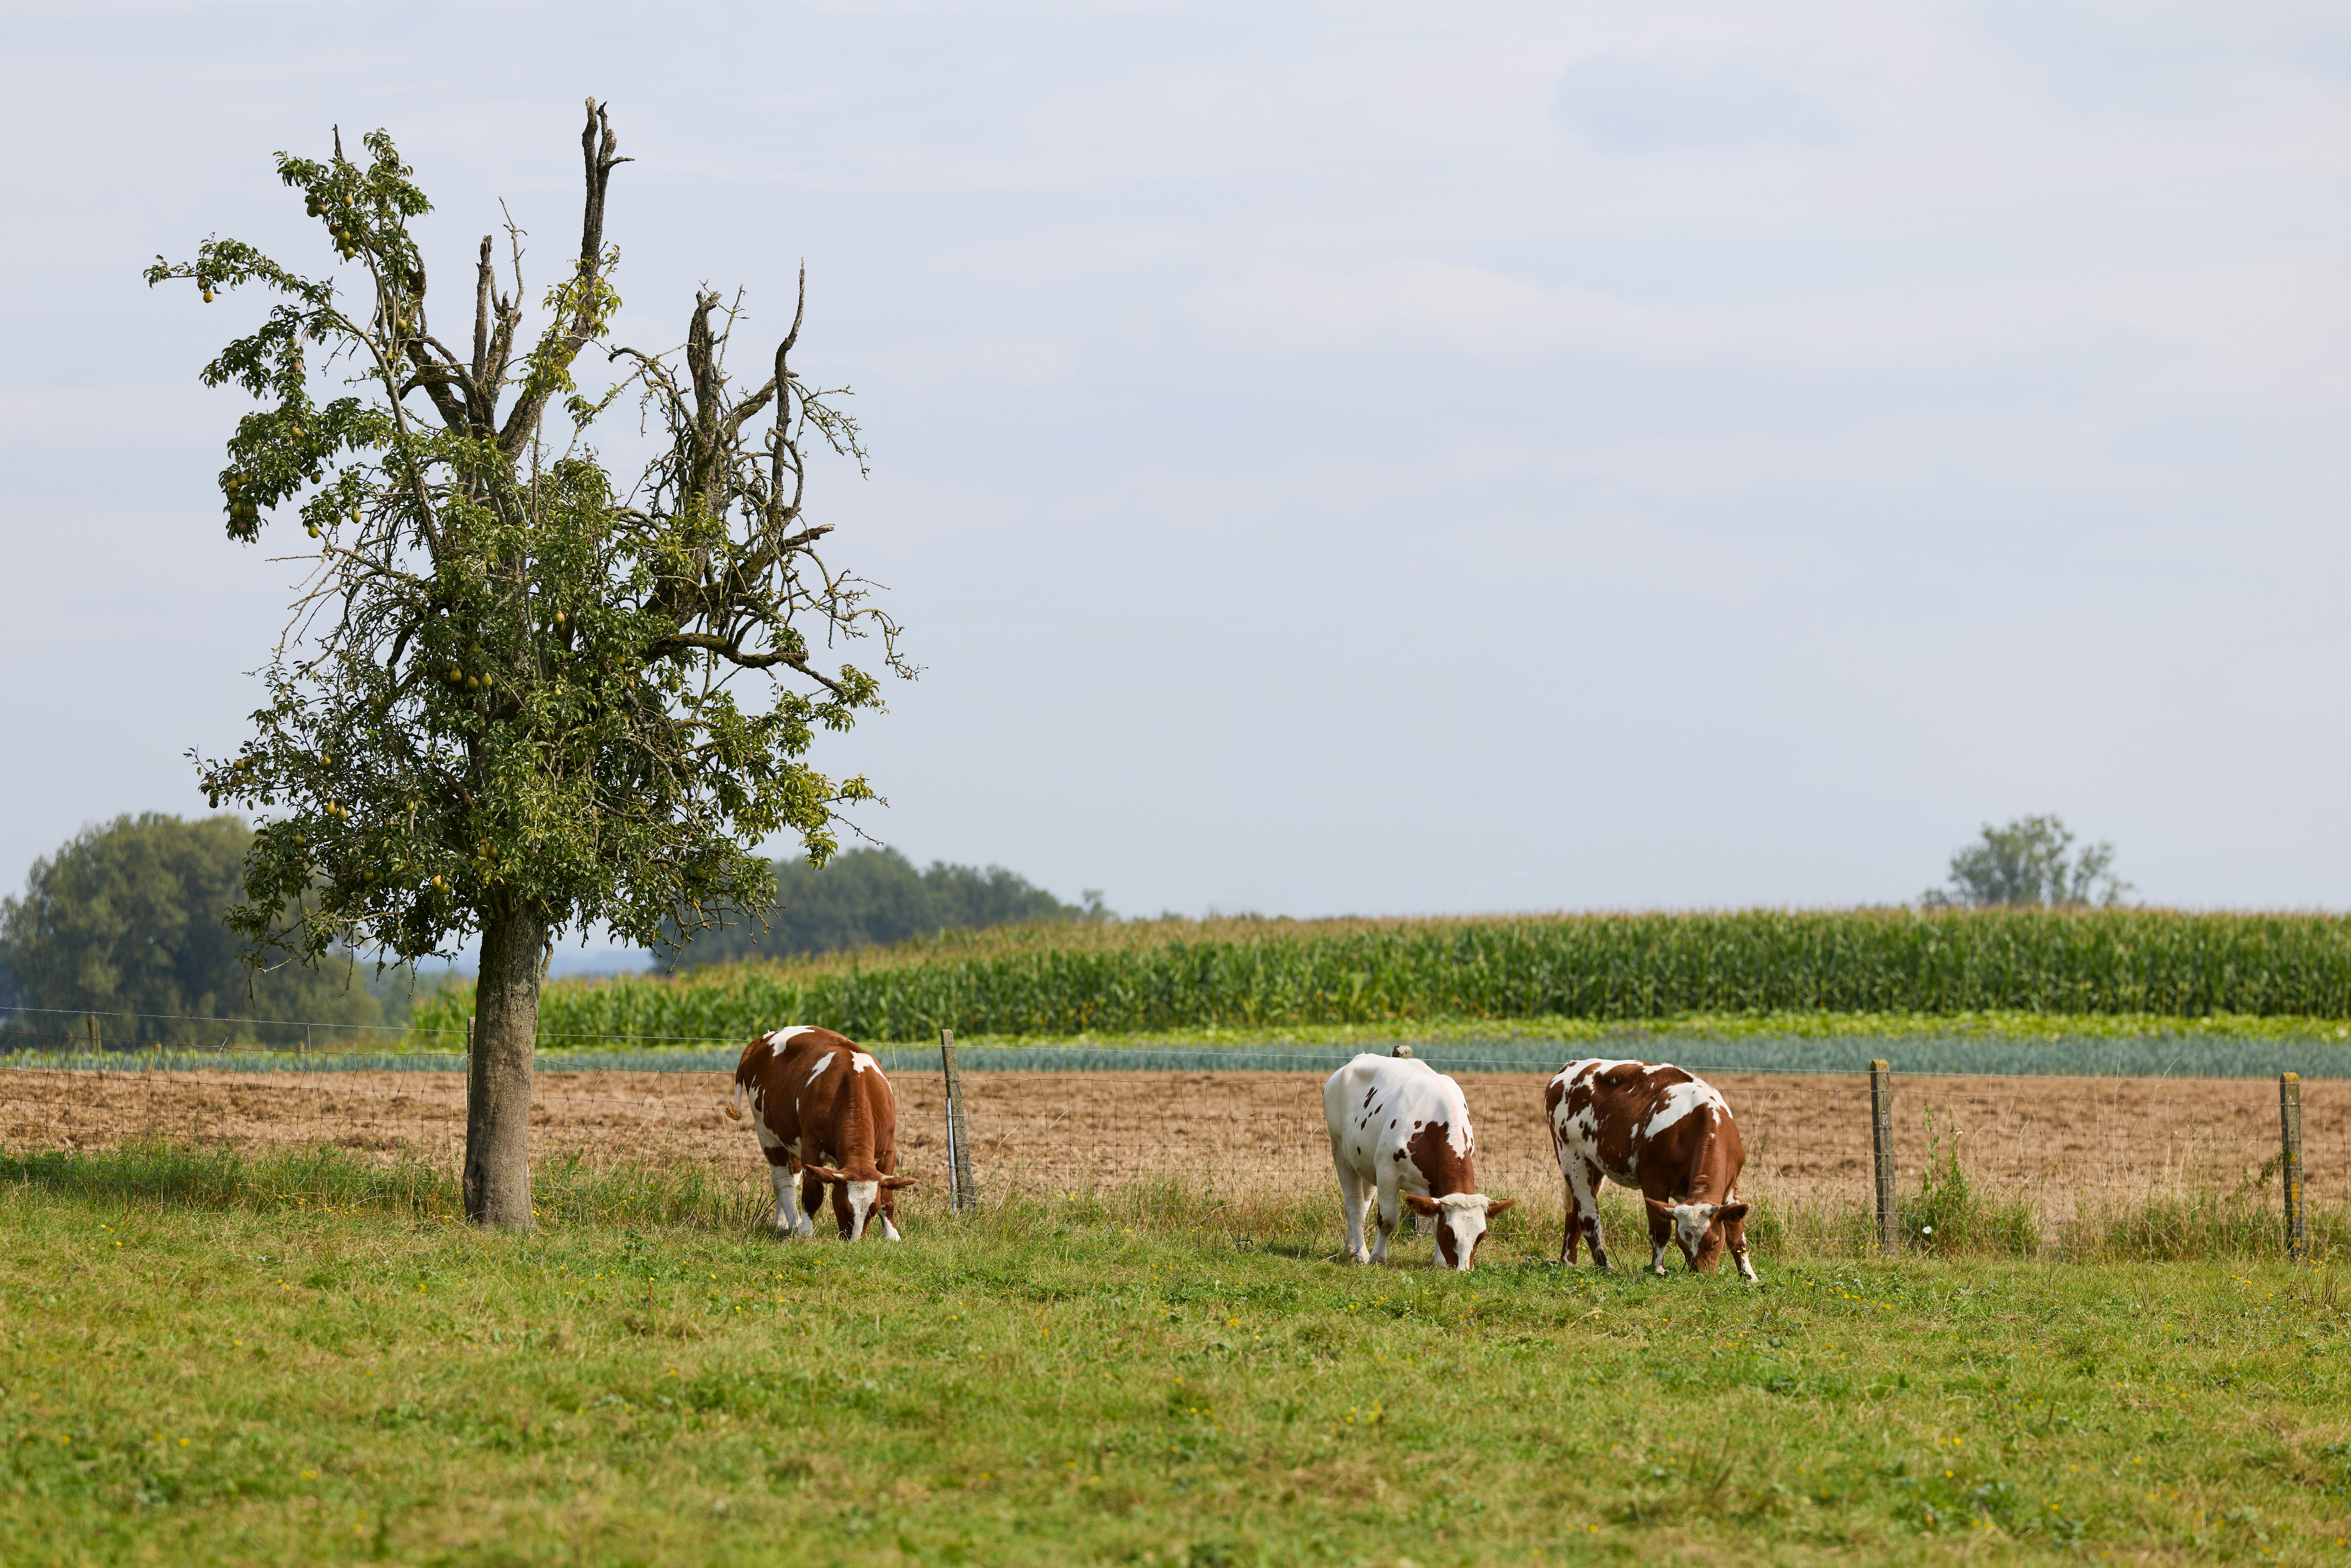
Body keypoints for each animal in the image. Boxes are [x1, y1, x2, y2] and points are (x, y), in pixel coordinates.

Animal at [726, 1026, 914, 1241]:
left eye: (872, 1211)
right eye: (843, 1207)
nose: (855, 1241)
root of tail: (768, 1036)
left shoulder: (888, 1149)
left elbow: (887, 1198)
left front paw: (892, 1236)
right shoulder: (812, 1147)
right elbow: (813, 1194)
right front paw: (805, 1233)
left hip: (792, 1140)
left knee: (792, 1177)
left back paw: (781, 1223)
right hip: (767, 1133)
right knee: (783, 1181)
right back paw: (794, 1223)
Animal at [1324, 1052, 1515, 1271]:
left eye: (1481, 1236)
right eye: (1449, 1233)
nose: (1463, 1270)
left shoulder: (1436, 1184)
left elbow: (1435, 1218)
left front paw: (1440, 1262)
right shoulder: (1387, 1171)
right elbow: (1388, 1220)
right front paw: (1378, 1258)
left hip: (1366, 1165)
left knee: (1362, 1206)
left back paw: (1351, 1248)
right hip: (1340, 1151)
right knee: (1353, 1206)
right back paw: (1361, 1254)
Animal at [1545, 1058, 1756, 1281]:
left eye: (1715, 1242)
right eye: (1681, 1244)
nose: (1701, 1276)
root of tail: (1571, 1066)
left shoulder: (1732, 1186)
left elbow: (1738, 1236)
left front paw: (1749, 1277)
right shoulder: (1653, 1180)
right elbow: (1661, 1231)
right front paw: (1658, 1270)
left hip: (1594, 1165)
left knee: (1573, 1213)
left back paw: (1568, 1262)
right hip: (1571, 1156)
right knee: (1588, 1217)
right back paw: (1606, 1267)